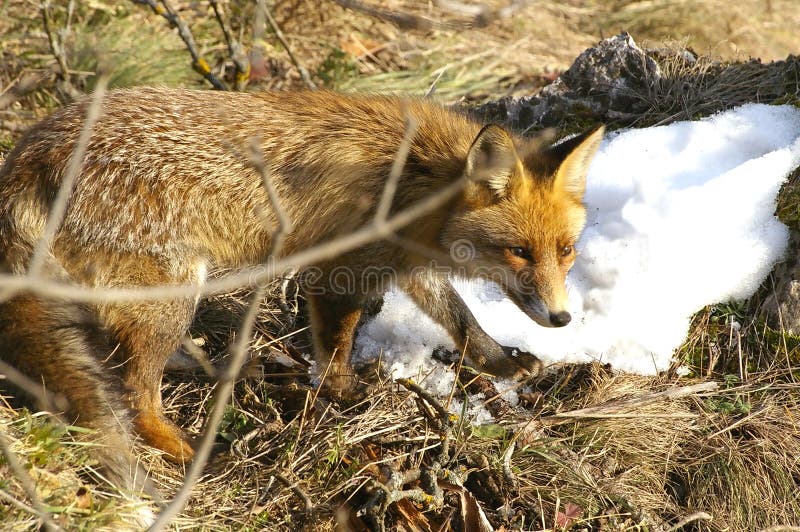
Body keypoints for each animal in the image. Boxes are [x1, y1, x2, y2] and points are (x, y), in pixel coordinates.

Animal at [0, 87, 603, 493]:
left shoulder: (405, 266)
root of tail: (28, 155)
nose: (561, 319)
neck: (417, 180)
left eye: (565, 251)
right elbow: (336, 343)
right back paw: (189, 449)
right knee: (133, 396)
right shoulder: (338, 271)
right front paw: (345, 397)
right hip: (173, 295)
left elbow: (461, 319)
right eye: (518, 252)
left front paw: (500, 361)